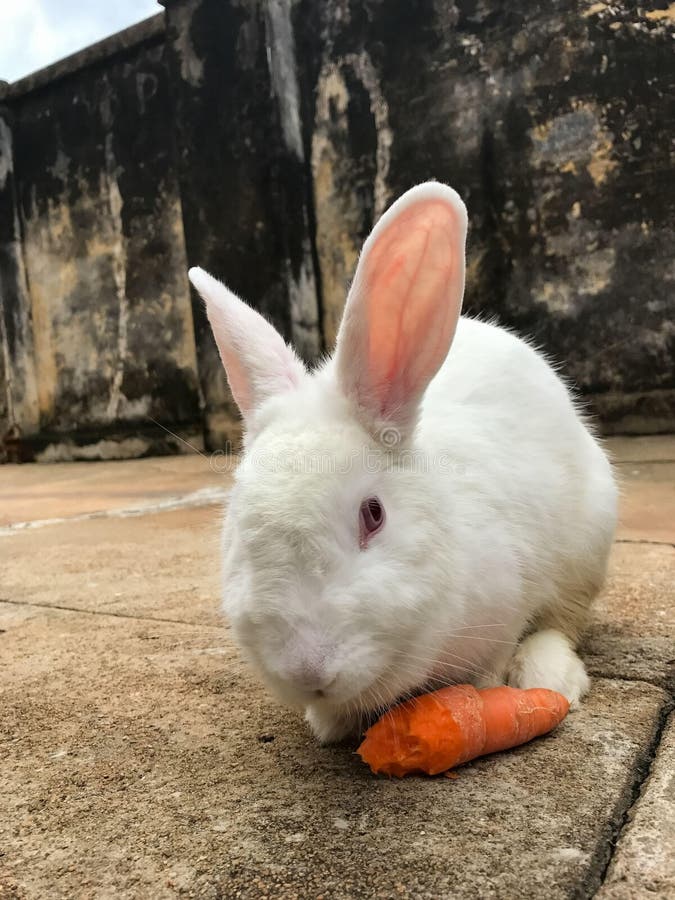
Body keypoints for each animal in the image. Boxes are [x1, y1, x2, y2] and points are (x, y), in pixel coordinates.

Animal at [189, 182, 617, 744]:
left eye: (374, 514)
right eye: (237, 525)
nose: (307, 670)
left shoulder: (507, 603)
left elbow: (500, 653)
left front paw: (485, 691)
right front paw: (328, 723)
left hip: (587, 544)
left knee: (561, 624)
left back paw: (548, 678)